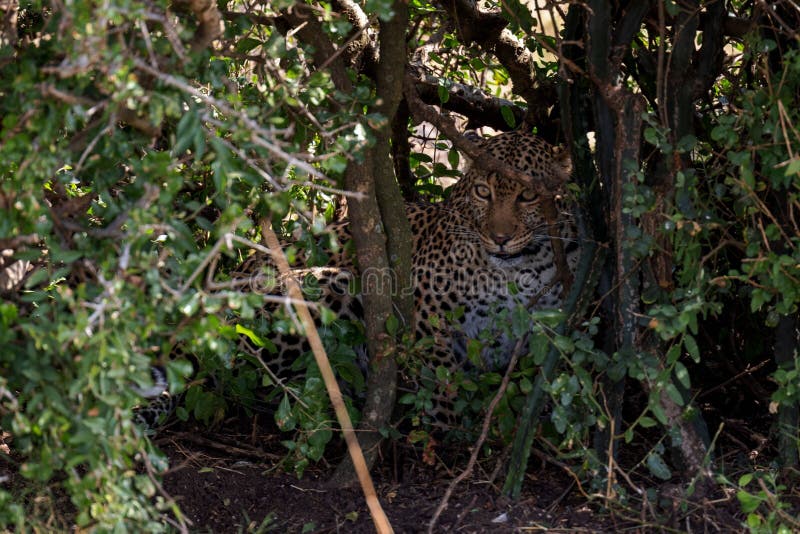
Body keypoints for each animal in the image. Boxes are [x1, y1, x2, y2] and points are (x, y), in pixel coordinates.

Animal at [133, 130, 579, 430]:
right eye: (484, 192)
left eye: (527, 195)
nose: (499, 237)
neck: (517, 271)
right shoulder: (422, 308)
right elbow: (440, 378)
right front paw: (446, 425)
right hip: (330, 285)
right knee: (262, 385)